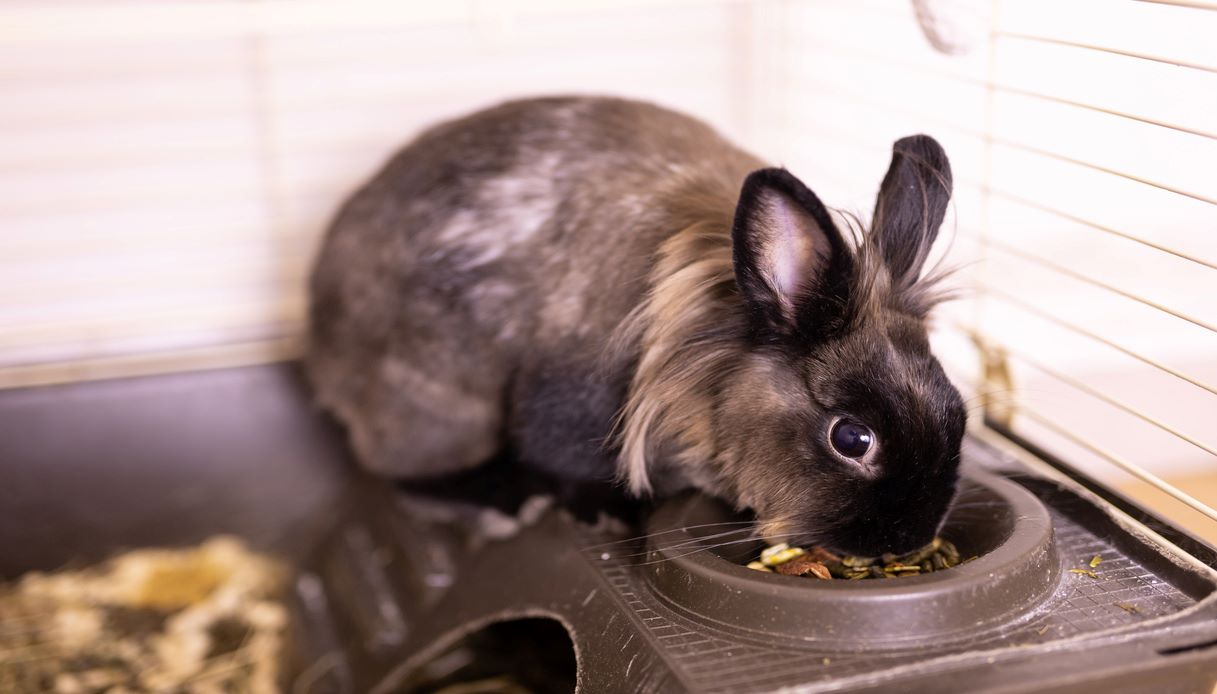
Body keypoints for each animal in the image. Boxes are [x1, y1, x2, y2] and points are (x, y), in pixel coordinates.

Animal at [306, 96, 966, 557]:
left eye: (958, 409)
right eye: (851, 438)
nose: (908, 538)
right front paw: (604, 515)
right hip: (440, 408)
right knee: (404, 473)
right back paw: (503, 504)